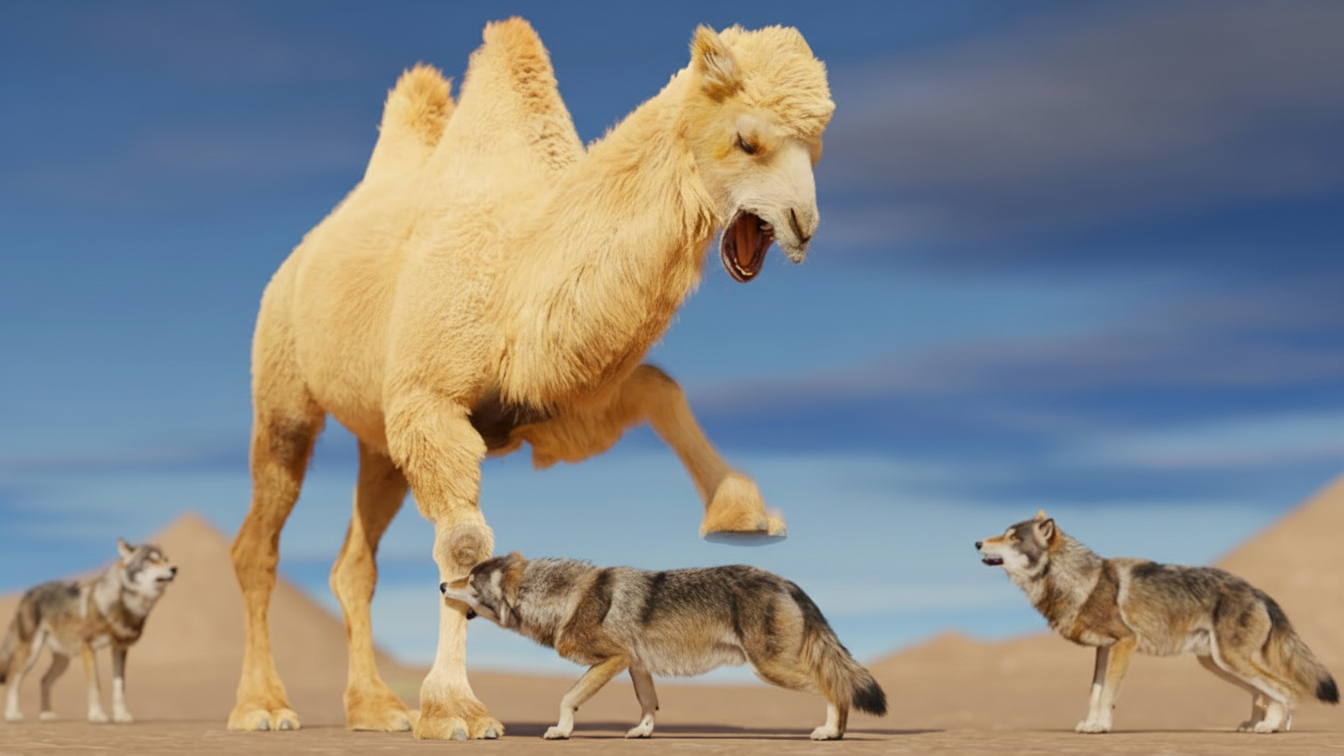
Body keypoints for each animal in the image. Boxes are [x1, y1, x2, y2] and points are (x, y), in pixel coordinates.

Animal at [228, 18, 833, 740]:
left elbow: (658, 385)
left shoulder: (550, 396)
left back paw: (375, 708)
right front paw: (455, 711)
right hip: (283, 386)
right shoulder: (429, 402)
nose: (803, 225)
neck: (519, 266)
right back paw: (263, 707)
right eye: (747, 139)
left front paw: (741, 516)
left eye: (817, 147)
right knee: (259, 540)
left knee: (355, 562)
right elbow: (464, 544)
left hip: (379, 438)